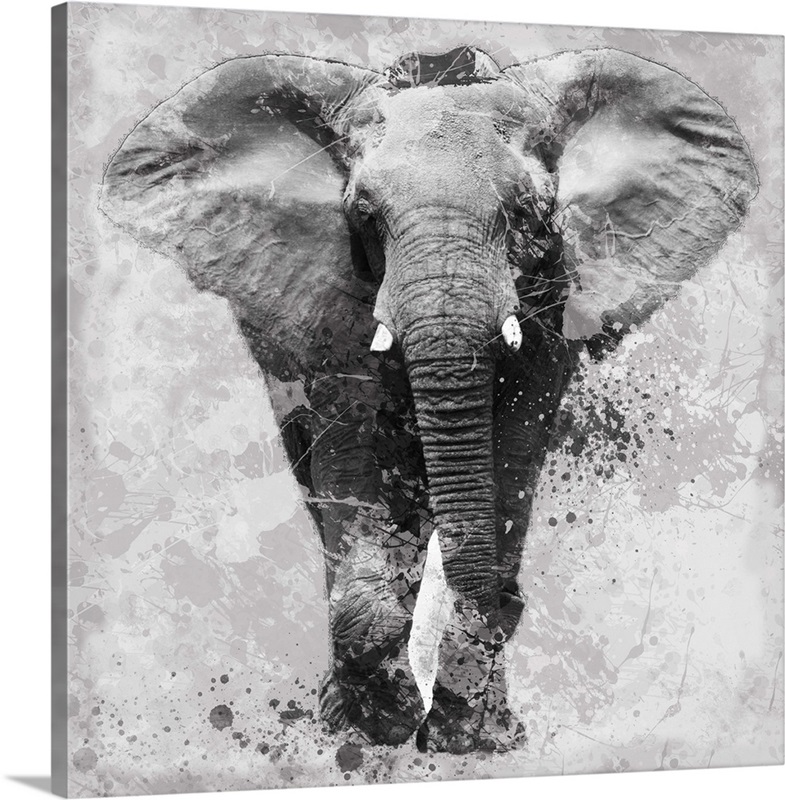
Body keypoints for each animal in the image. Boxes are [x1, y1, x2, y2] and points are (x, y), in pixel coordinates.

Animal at [100, 44, 757, 754]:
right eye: (363, 214)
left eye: (529, 212)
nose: (509, 606)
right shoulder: (332, 295)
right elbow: (350, 443)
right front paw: (371, 718)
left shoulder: (555, 287)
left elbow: (514, 444)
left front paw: (470, 730)